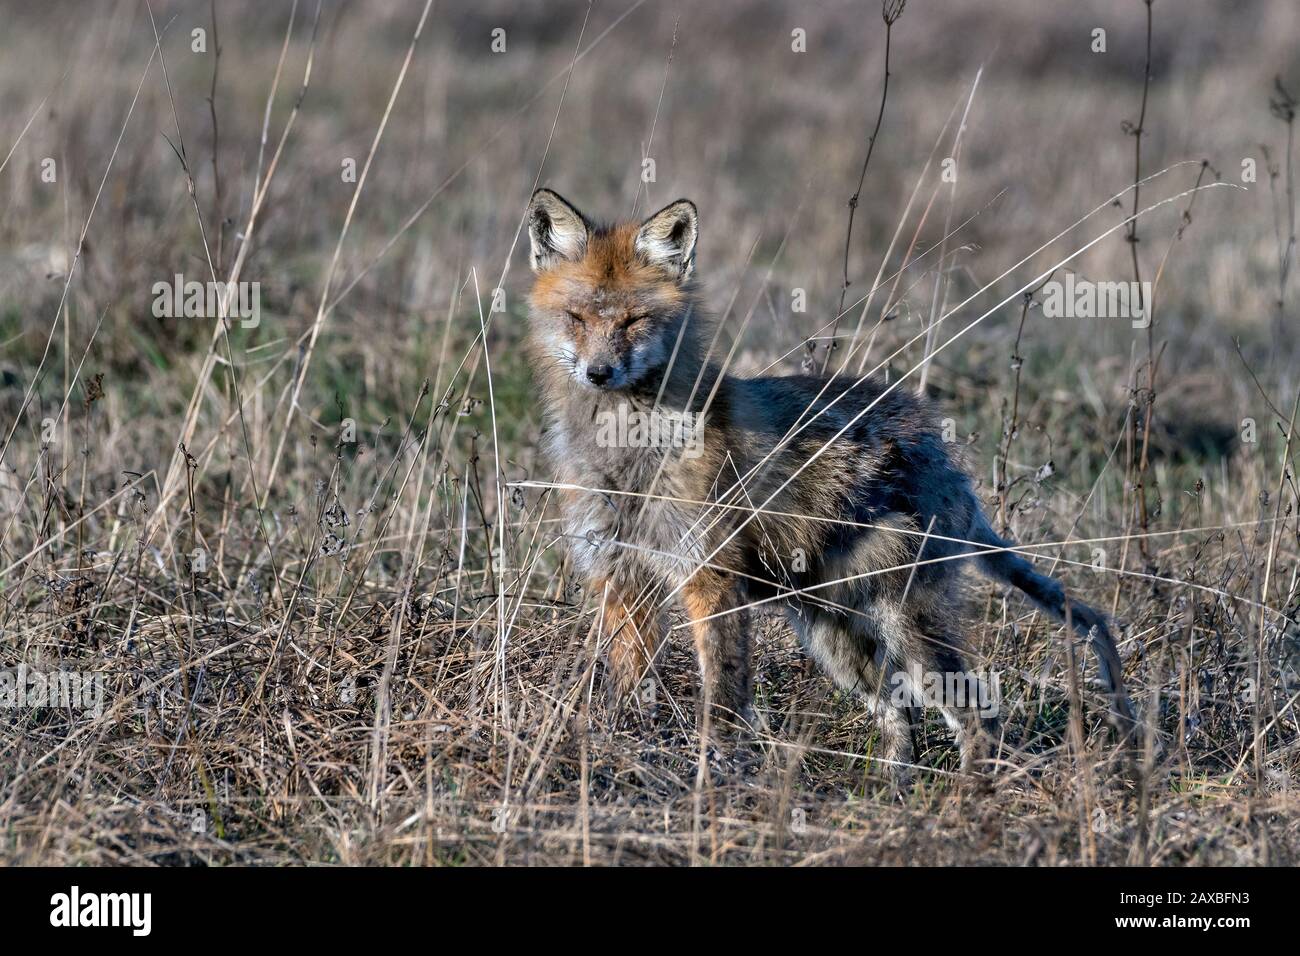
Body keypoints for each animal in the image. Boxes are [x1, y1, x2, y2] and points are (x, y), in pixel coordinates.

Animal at [524, 186, 1136, 779]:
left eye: (633, 321)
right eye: (576, 317)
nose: (598, 373)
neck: (626, 457)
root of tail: (945, 454)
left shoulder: (710, 577)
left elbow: (721, 698)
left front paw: (713, 776)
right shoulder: (620, 576)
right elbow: (627, 687)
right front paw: (619, 746)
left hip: (905, 628)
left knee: (978, 718)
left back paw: (965, 801)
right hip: (832, 635)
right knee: (900, 718)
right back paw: (894, 793)